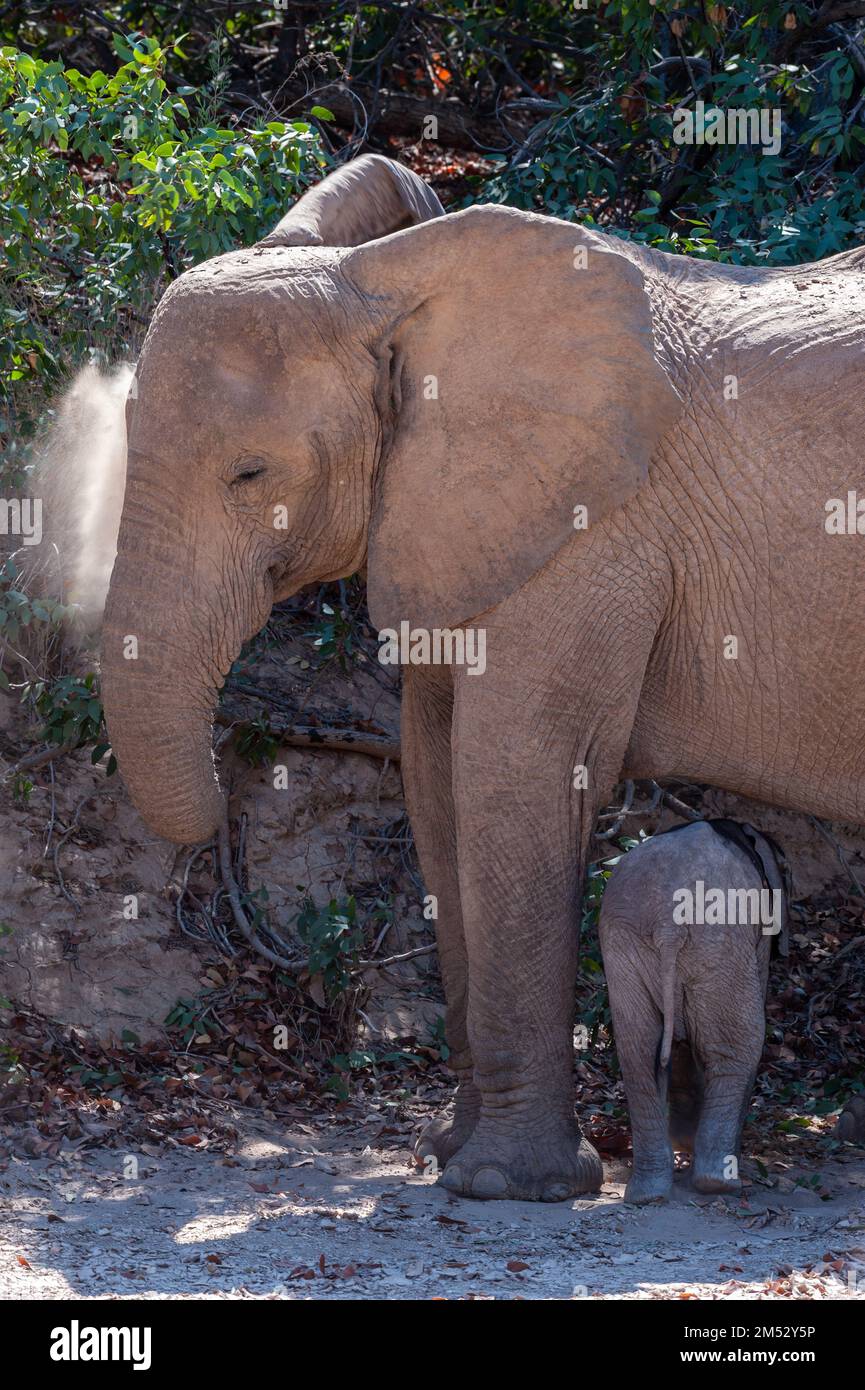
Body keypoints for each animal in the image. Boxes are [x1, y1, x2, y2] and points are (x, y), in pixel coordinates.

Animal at [598, 819, 788, 1204]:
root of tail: (667, 924)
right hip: (718, 942)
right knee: (737, 1048)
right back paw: (720, 1184)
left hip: (624, 944)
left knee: (639, 1054)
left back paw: (647, 1194)